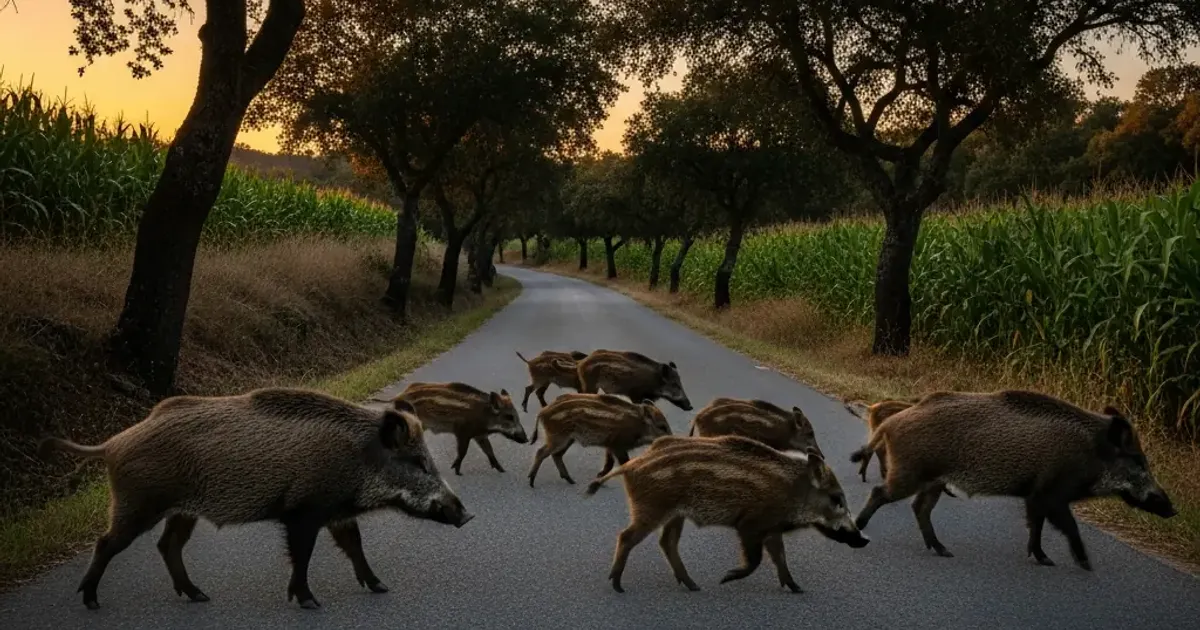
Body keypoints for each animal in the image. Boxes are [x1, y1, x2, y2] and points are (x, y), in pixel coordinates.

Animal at [37, 387, 472, 610]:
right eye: (418, 462)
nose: (465, 515)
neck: (359, 457)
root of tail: (112, 444)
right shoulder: (304, 511)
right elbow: (303, 554)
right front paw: (308, 602)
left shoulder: (335, 511)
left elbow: (354, 545)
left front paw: (379, 587)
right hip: (139, 503)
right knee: (107, 542)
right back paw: (91, 601)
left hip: (183, 510)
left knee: (168, 545)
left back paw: (198, 595)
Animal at [393, 381, 527, 475]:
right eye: (509, 417)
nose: (526, 439)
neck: (484, 415)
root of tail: (397, 398)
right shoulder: (462, 433)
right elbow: (463, 452)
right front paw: (457, 471)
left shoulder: (480, 435)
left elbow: (489, 451)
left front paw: (502, 470)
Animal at [527, 393, 672, 487]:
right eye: (662, 426)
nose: (671, 438)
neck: (639, 425)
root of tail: (542, 412)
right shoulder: (618, 445)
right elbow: (623, 462)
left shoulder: (610, 445)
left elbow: (609, 463)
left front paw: (598, 478)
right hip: (558, 437)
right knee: (541, 452)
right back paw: (531, 481)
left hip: (568, 439)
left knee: (556, 455)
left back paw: (571, 480)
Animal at [586, 434, 869, 593]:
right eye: (836, 499)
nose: (864, 539)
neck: (793, 492)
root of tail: (632, 466)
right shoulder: (751, 525)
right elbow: (756, 560)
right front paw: (725, 578)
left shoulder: (771, 528)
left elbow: (780, 557)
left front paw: (797, 588)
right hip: (652, 509)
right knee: (627, 537)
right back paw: (617, 585)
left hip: (675, 515)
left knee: (667, 542)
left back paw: (693, 585)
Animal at [850, 389, 1177, 570]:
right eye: (1138, 461)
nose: (1173, 509)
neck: (1091, 453)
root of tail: (891, 423)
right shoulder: (1050, 493)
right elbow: (1066, 526)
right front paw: (1085, 565)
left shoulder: (1035, 495)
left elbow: (1036, 524)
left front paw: (1043, 559)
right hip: (911, 472)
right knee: (881, 492)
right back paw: (861, 528)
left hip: (933, 481)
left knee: (920, 508)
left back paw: (944, 550)